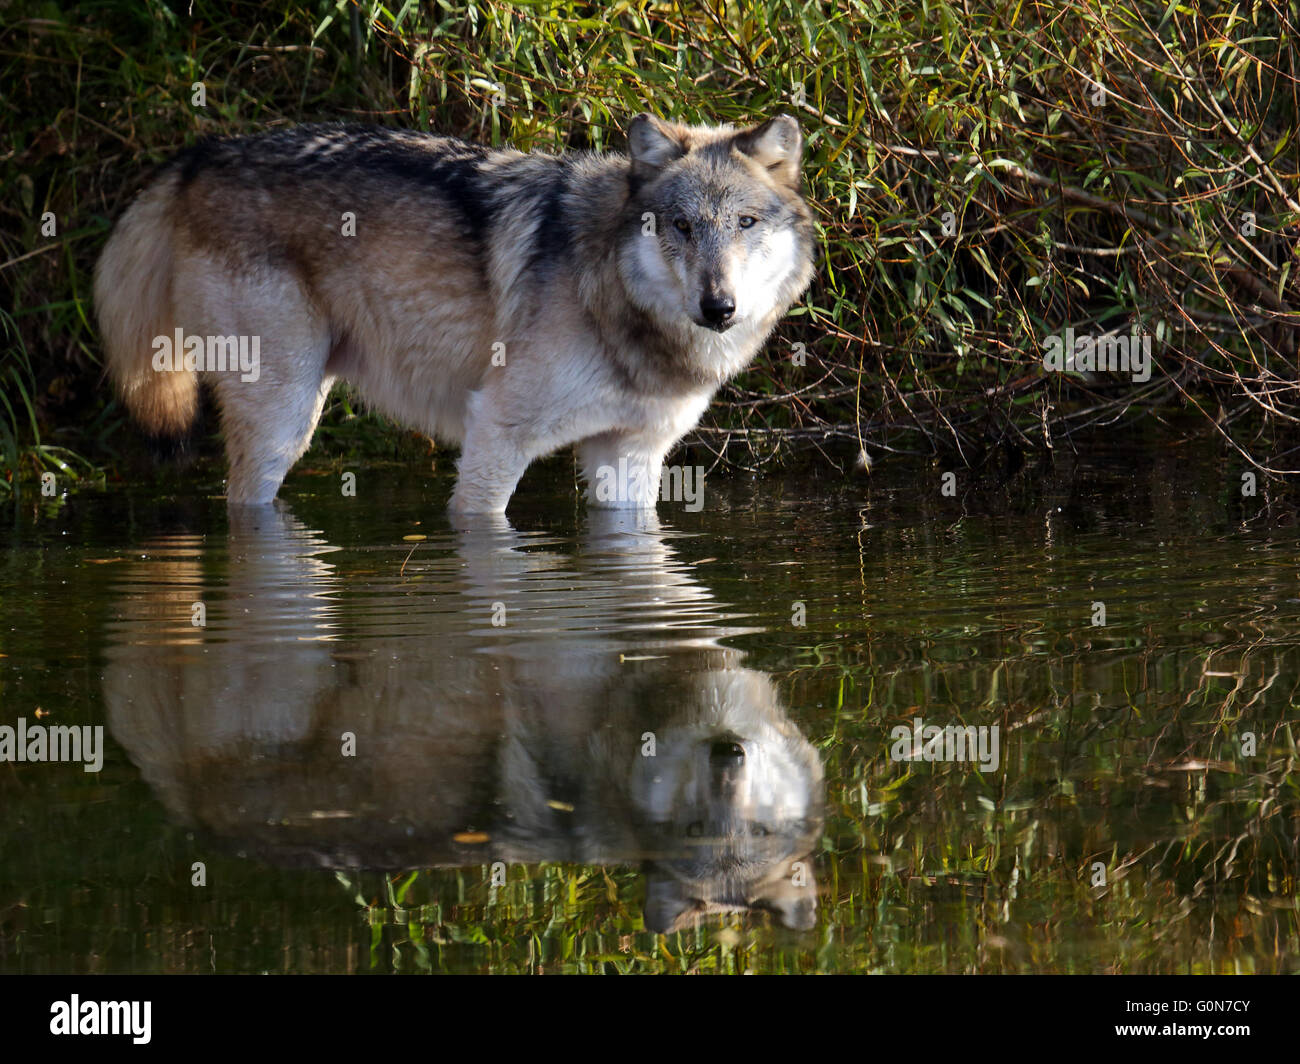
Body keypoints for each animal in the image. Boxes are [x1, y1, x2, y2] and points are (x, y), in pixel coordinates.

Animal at [94, 115, 816, 511]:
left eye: (745, 223)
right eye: (682, 226)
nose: (718, 307)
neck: (611, 299)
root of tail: (201, 153)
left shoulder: (630, 457)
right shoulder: (496, 434)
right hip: (284, 420)